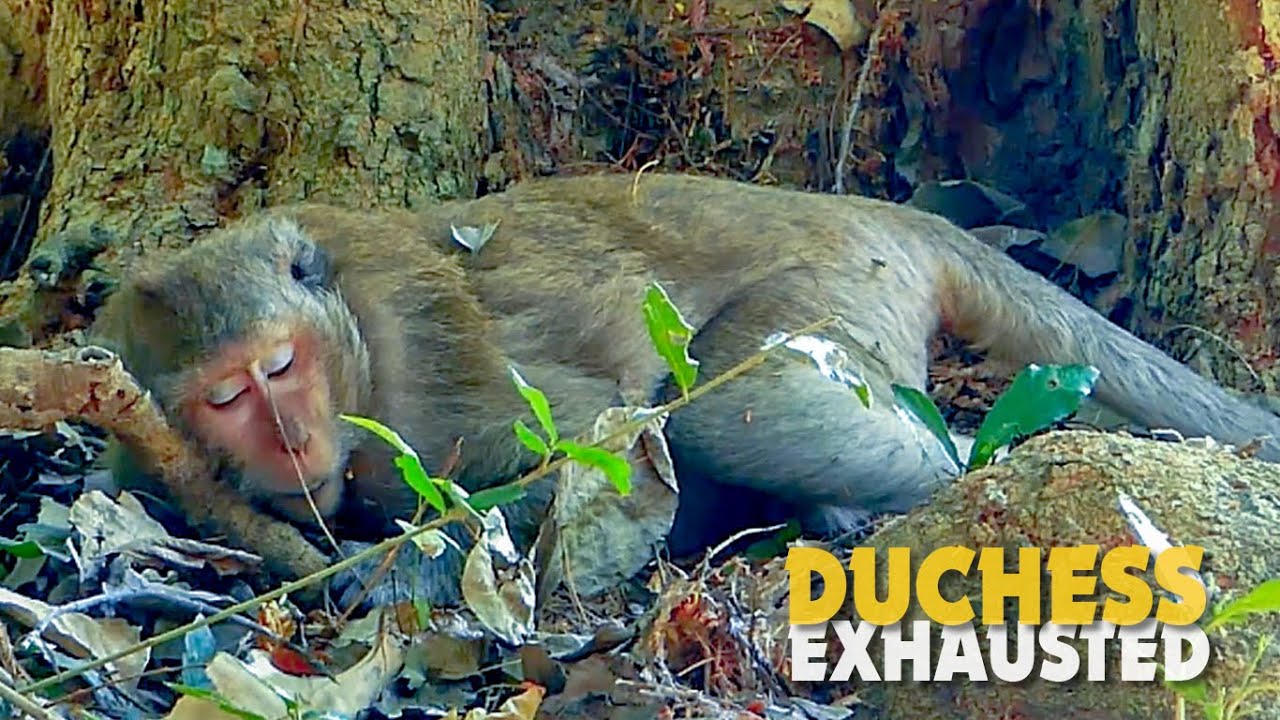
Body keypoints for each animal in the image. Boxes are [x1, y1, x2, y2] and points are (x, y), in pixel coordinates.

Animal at [91, 172, 1280, 603]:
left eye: (276, 369)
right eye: (222, 400)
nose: (288, 442)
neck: (355, 354)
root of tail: (869, 211)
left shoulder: (427, 381)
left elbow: (586, 447)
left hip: (837, 293)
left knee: (714, 409)